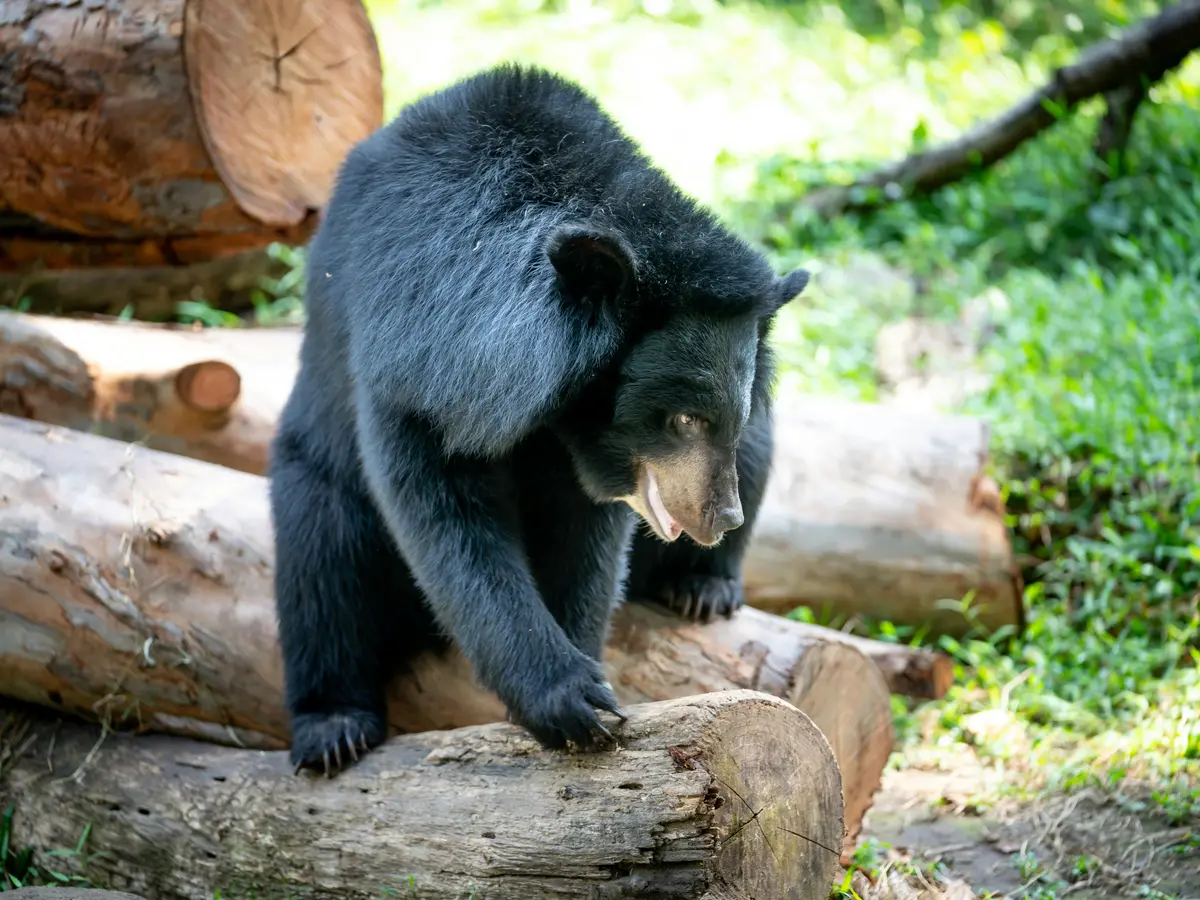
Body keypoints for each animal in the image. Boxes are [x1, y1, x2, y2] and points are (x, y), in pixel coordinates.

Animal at [268, 63, 809, 775]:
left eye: (725, 415)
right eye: (684, 419)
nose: (720, 519)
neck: (549, 408)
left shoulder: (603, 457)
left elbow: (588, 541)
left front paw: (588, 683)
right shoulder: (407, 362)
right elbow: (444, 518)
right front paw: (571, 700)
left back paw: (702, 586)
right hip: (317, 467)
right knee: (320, 555)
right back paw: (334, 728)